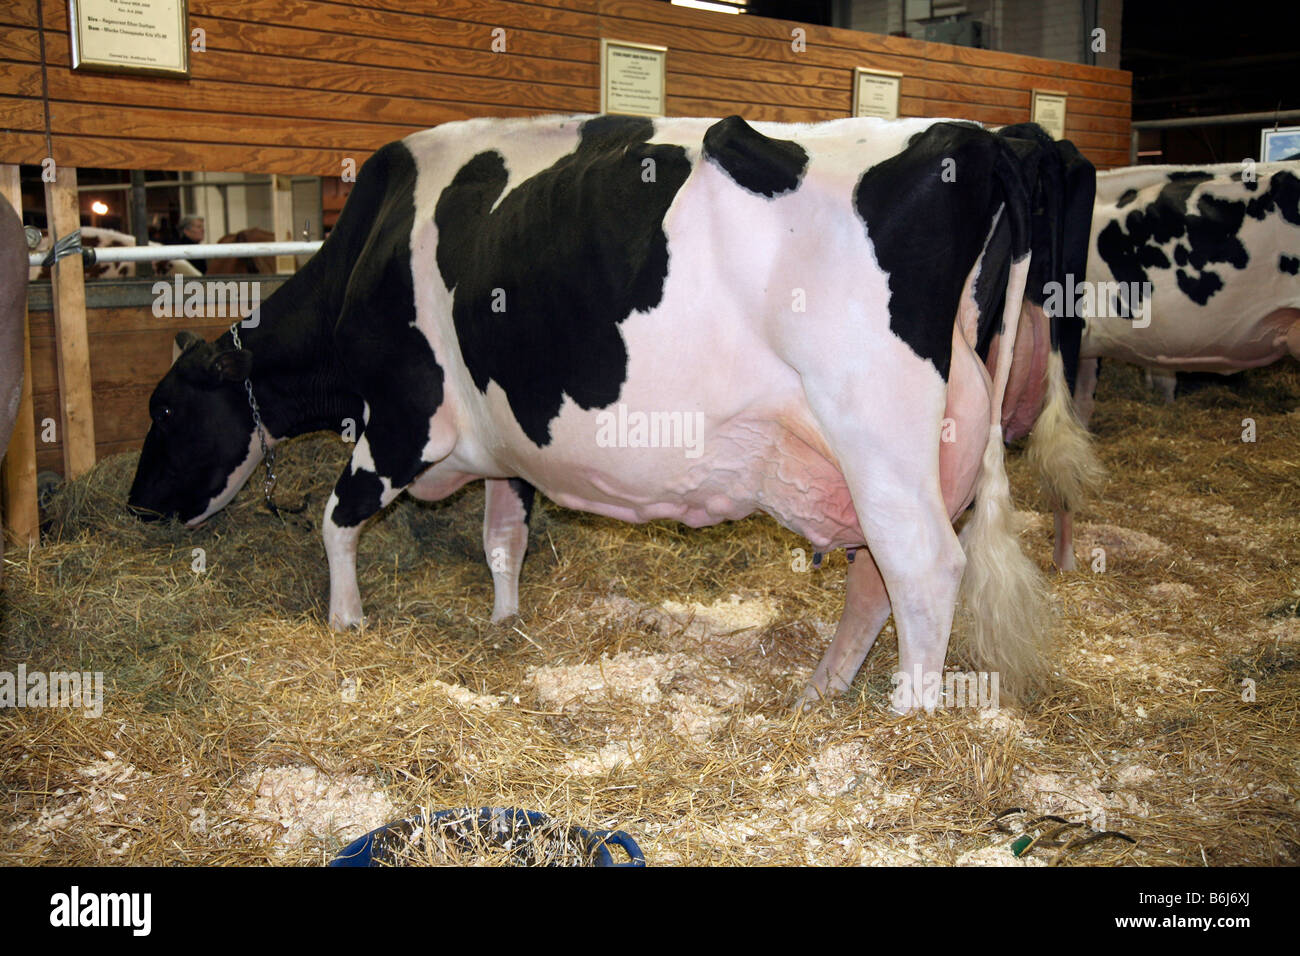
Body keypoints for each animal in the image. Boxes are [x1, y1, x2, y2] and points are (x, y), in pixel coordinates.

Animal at [127, 114, 1095, 712]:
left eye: (166, 408)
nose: (135, 505)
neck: (369, 255)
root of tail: (983, 138)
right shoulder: (506, 442)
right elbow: (503, 537)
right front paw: (505, 623)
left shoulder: (400, 418)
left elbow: (334, 519)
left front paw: (345, 622)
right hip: (877, 458)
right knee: (873, 576)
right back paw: (821, 690)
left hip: (878, 432)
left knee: (925, 570)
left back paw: (907, 717)